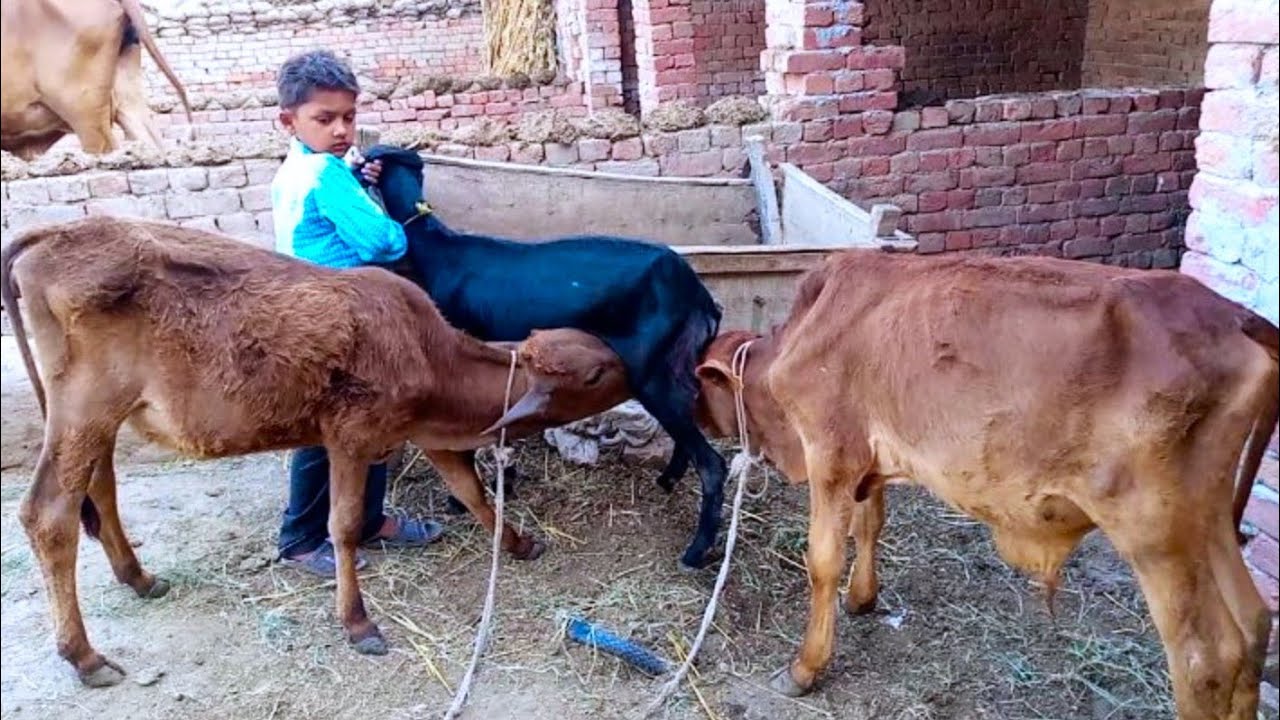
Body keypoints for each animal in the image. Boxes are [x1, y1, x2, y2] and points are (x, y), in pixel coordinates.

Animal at [0, 216, 636, 687]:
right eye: (598, 372)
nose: (640, 368)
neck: (428, 352)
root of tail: (53, 234)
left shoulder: (426, 434)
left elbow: (475, 495)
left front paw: (520, 543)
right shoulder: (352, 437)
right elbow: (345, 526)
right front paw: (357, 623)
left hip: (97, 419)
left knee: (99, 488)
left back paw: (138, 577)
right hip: (83, 411)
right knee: (49, 516)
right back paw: (84, 655)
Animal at [359, 144, 731, 571]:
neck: (441, 251)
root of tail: (697, 292)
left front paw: (464, 498)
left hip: (652, 371)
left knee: (712, 465)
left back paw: (695, 551)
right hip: (677, 364)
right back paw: (668, 481)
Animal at [505, 249, 1279, 720]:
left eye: (702, 387)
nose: (689, 417)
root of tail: (1237, 316)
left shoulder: (829, 452)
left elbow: (823, 558)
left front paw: (807, 666)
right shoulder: (870, 461)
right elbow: (871, 524)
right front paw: (864, 599)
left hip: (1155, 532)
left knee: (1206, 656)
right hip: (1208, 523)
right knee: (1253, 625)